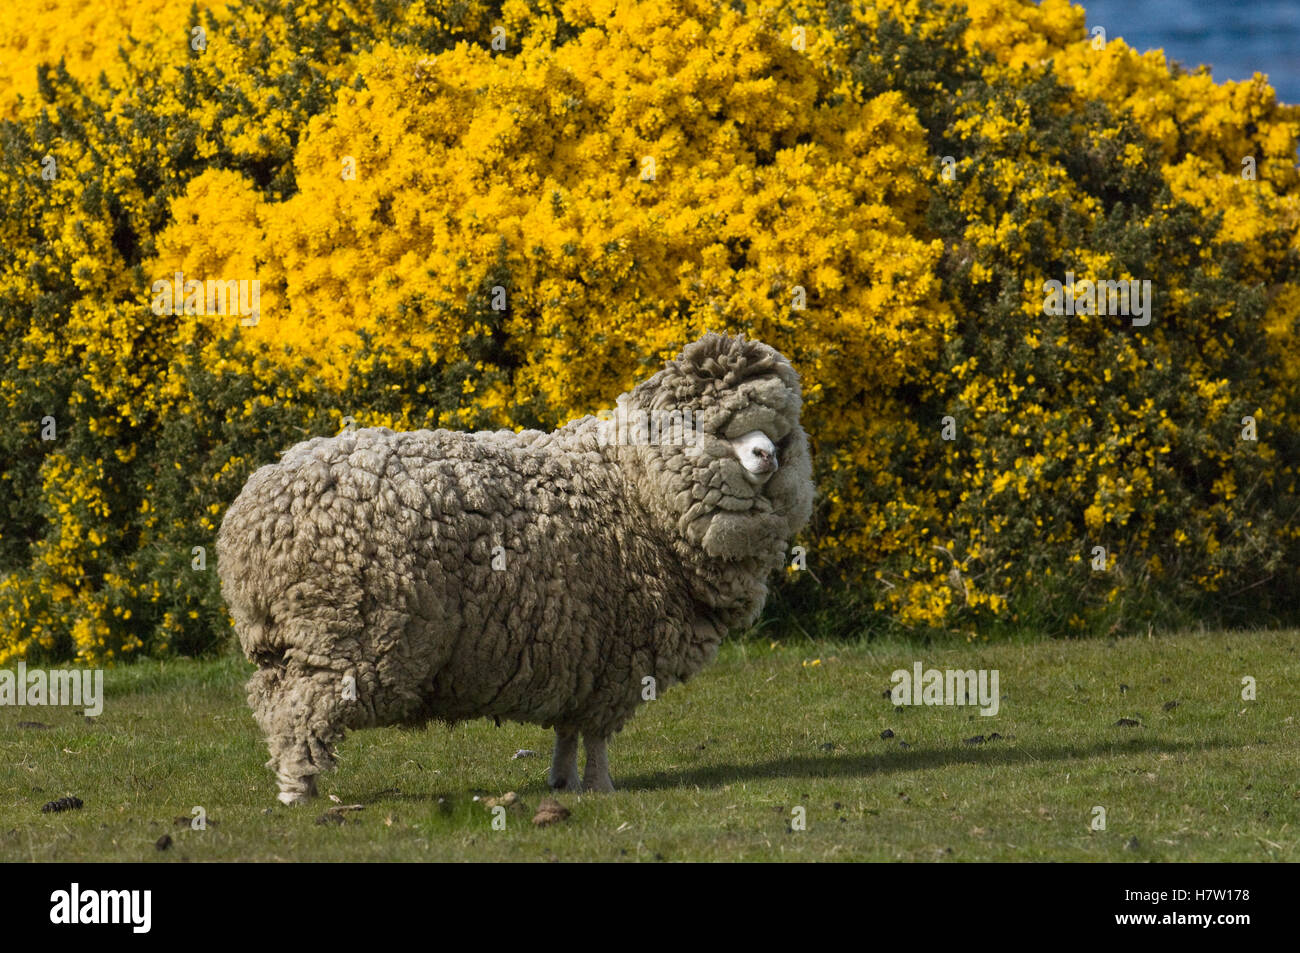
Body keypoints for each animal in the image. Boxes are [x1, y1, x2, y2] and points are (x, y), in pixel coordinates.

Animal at [216, 333, 814, 804]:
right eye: (720, 430)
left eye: (779, 432)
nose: (768, 456)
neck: (634, 486)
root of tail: (254, 521)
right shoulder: (619, 656)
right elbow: (597, 736)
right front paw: (602, 787)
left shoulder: (581, 653)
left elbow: (570, 730)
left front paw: (564, 781)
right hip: (342, 634)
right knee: (300, 710)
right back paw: (298, 793)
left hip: (292, 639)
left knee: (271, 701)